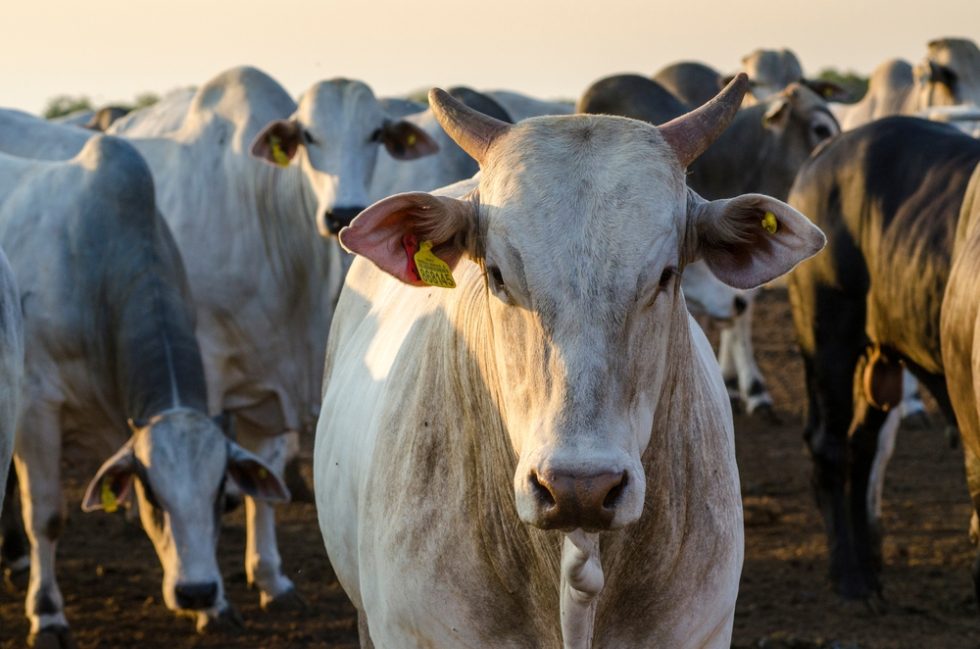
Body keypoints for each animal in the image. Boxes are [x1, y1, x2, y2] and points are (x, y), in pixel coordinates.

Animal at [0, 117, 288, 646]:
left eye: (223, 496)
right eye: (152, 492)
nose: (196, 591)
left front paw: (216, 609)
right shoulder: (35, 407)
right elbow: (47, 515)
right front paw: (47, 612)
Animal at [105, 65, 438, 610]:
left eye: (375, 134)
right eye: (308, 137)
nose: (342, 212)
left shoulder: (272, 384)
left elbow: (265, 471)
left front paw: (269, 576)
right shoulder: (205, 369)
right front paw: (213, 598)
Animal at [787, 116, 980, 602]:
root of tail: (827, 151)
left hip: (880, 364)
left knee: (862, 446)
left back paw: (869, 570)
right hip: (828, 340)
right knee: (830, 447)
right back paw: (849, 577)